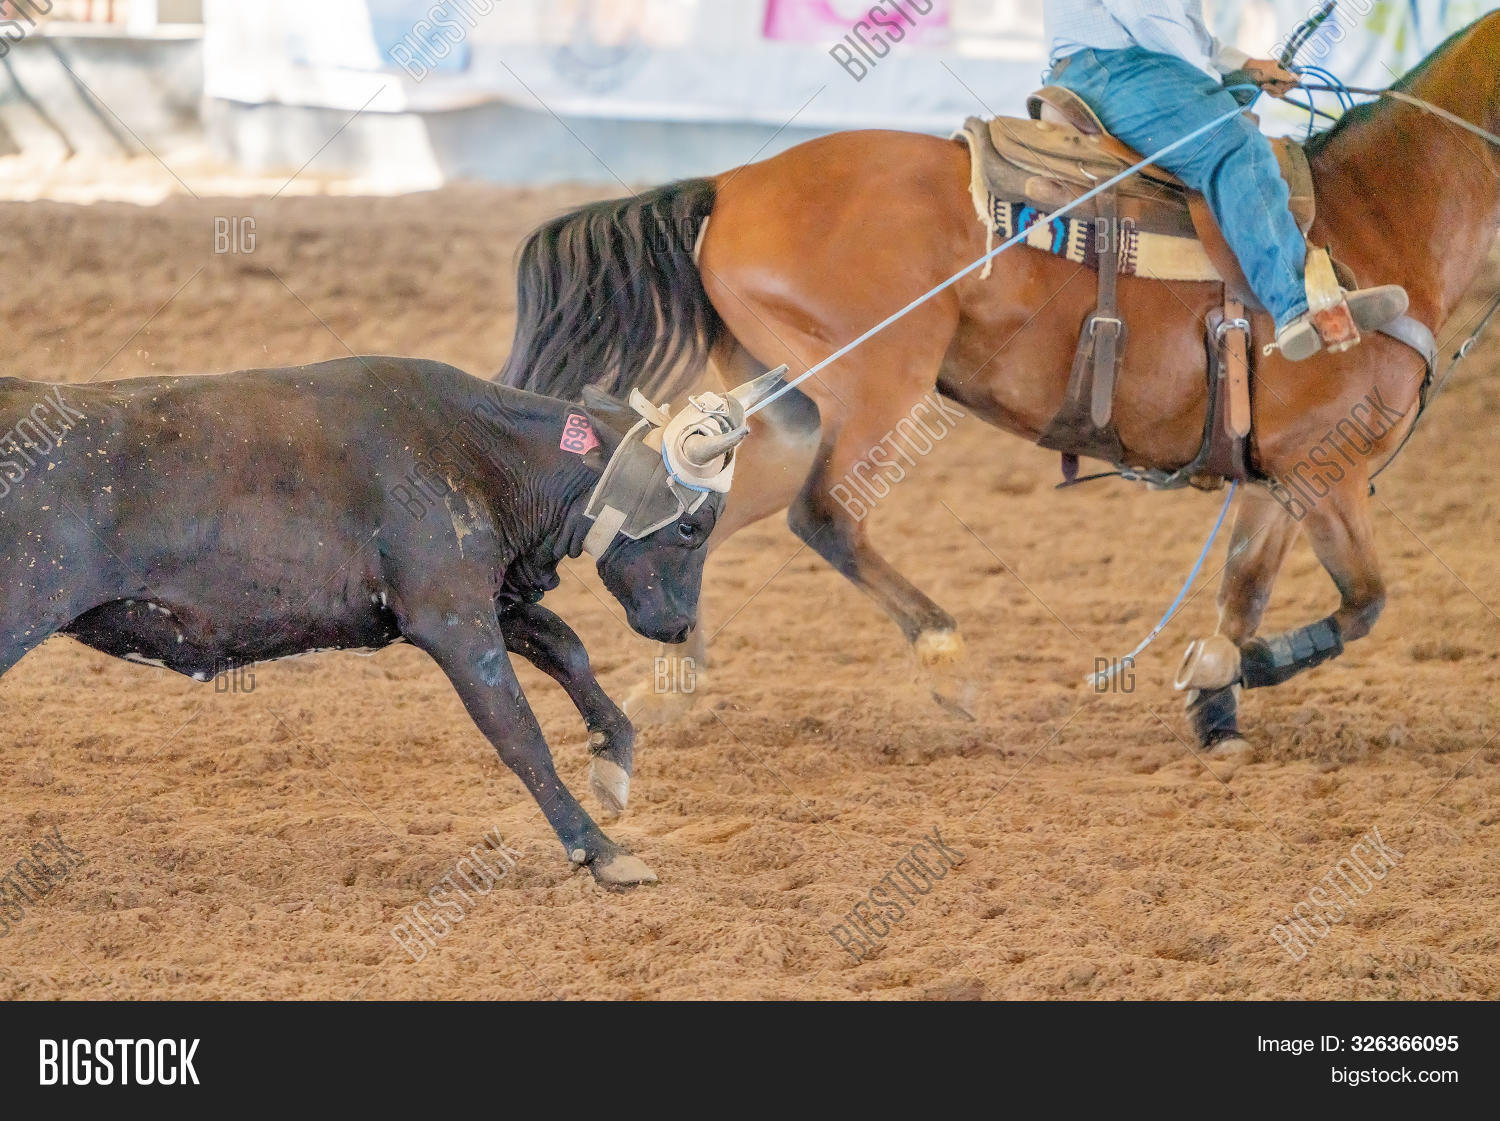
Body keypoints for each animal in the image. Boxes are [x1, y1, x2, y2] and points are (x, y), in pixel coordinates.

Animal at [0, 355, 779, 885]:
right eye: (695, 526)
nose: (679, 626)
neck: (476, 446)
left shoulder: (477, 597)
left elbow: (566, 646)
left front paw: (613, 759)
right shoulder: (450, 613)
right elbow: (517, 729)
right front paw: (603, 853)